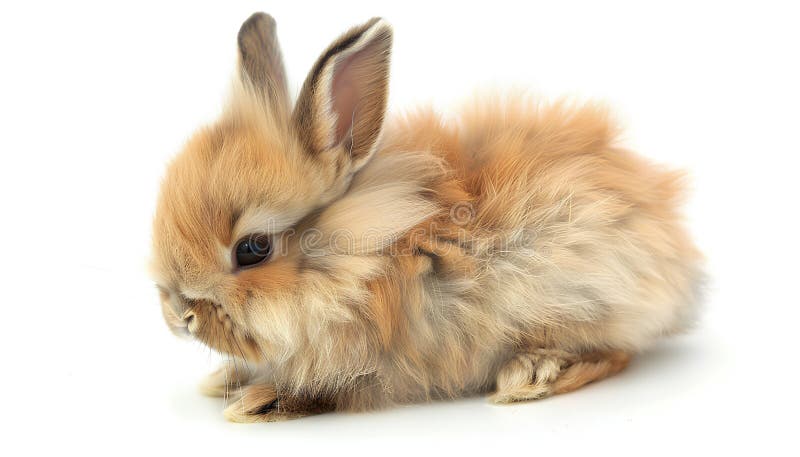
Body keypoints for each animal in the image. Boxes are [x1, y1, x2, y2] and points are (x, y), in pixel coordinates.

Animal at [151, 12, 704, 422]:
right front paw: (225, 381)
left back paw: (530, 375)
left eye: (253, 249)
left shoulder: (383, 363)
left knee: (614, 351)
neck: (363, 258)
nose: (180, 317)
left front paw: (262, 401)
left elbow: (338, 386)